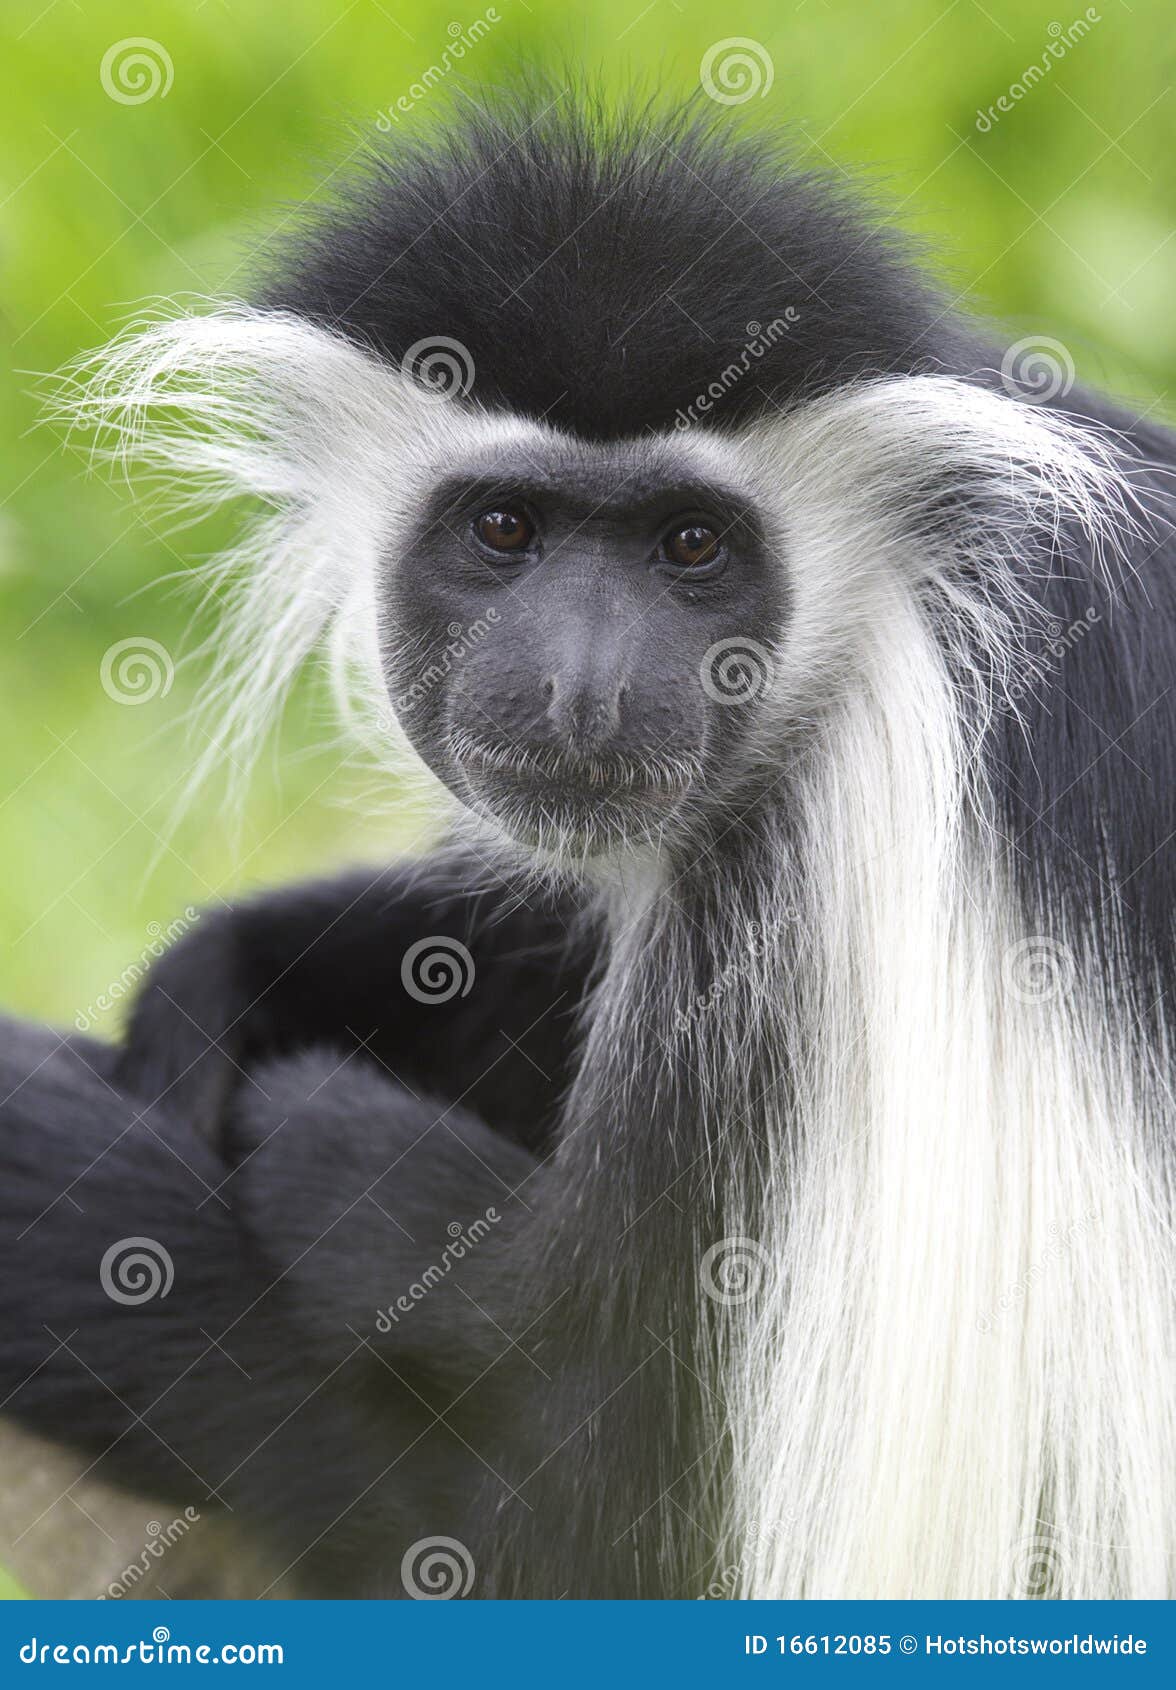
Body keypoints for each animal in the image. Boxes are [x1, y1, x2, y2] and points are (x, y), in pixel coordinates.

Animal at [2, 86, 1175, 1600]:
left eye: (692, 545)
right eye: (504, 526)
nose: (582, 683)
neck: (908, 586)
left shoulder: (844, 867)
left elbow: (579, 1502)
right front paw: (232, 970)